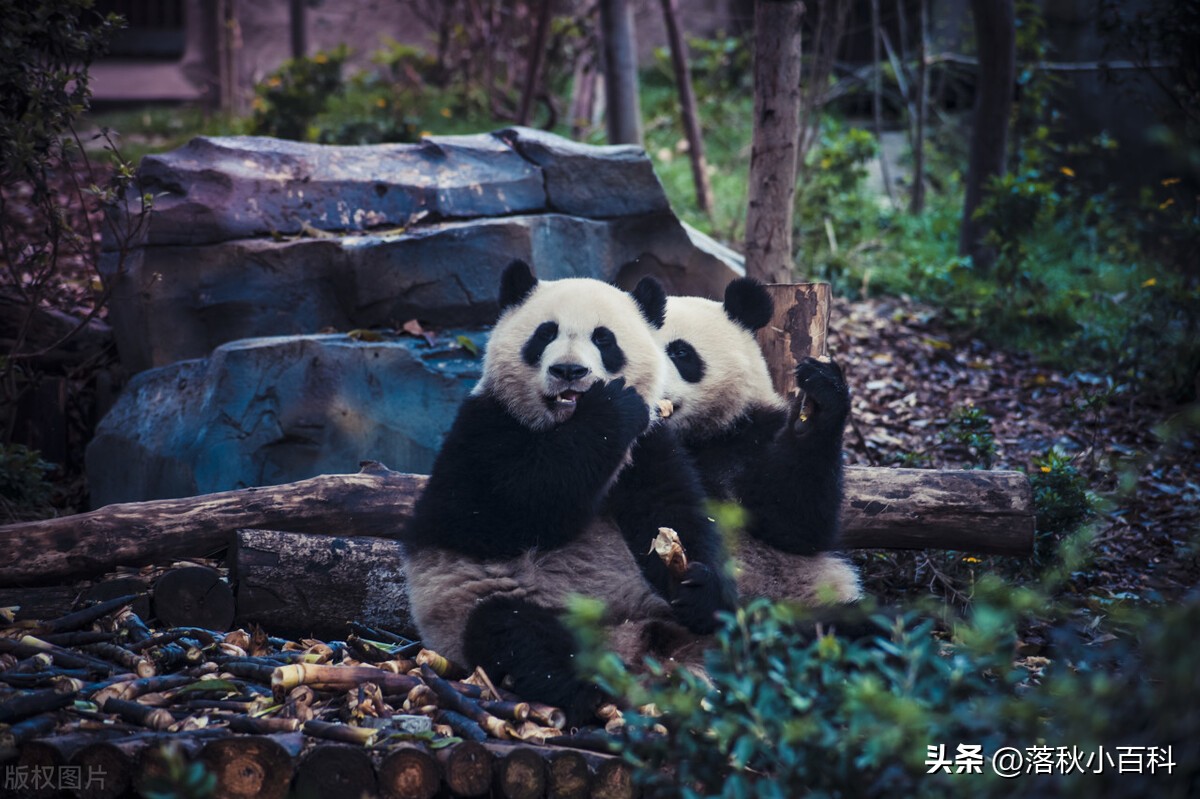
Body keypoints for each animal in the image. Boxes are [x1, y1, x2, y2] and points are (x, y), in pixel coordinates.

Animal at [401, 261, 735, 723]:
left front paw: (698, 588)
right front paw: (610, 408)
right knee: (513, 630)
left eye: (604, 339)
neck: (563, 424)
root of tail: (635, 646)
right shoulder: (483, 429)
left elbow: (671, 510)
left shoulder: (649, 445)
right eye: (545, 334)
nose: (569, 372)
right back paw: (586, 689)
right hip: (471, 605)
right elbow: (508, 508)